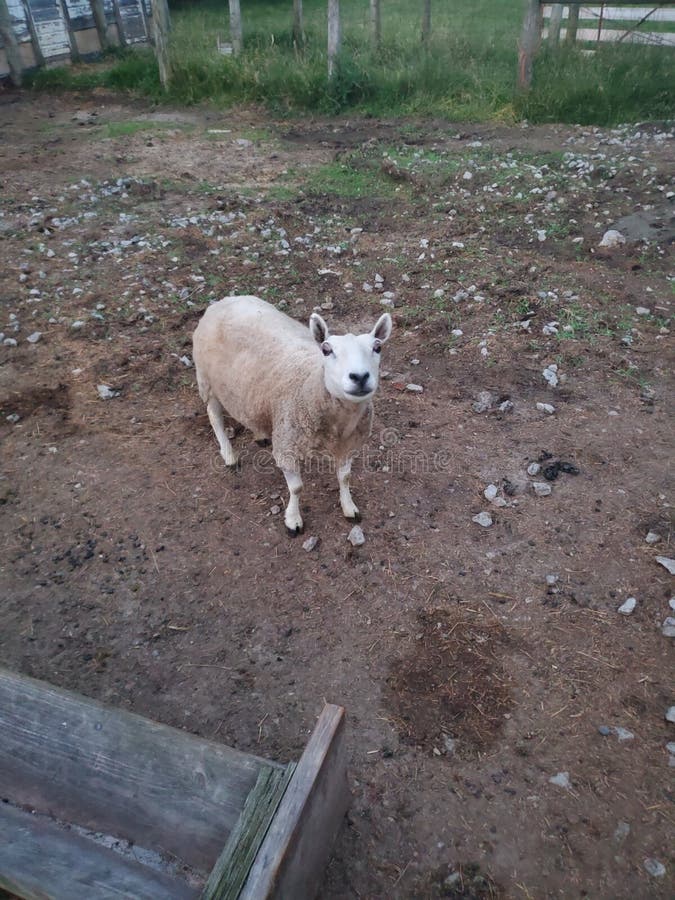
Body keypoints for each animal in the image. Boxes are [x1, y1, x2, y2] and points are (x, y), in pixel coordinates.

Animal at [192, 295, 392, 534]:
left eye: (377, 347)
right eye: (326, 350)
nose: (360, 377)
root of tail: (224, 300)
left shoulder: (349, 444)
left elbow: (345, 477)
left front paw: (349, 507)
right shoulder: (287, 445)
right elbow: (296, 488)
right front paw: (293, 519)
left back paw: (260, 434)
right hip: (206, 379)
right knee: (214, 415)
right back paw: (229, 454)